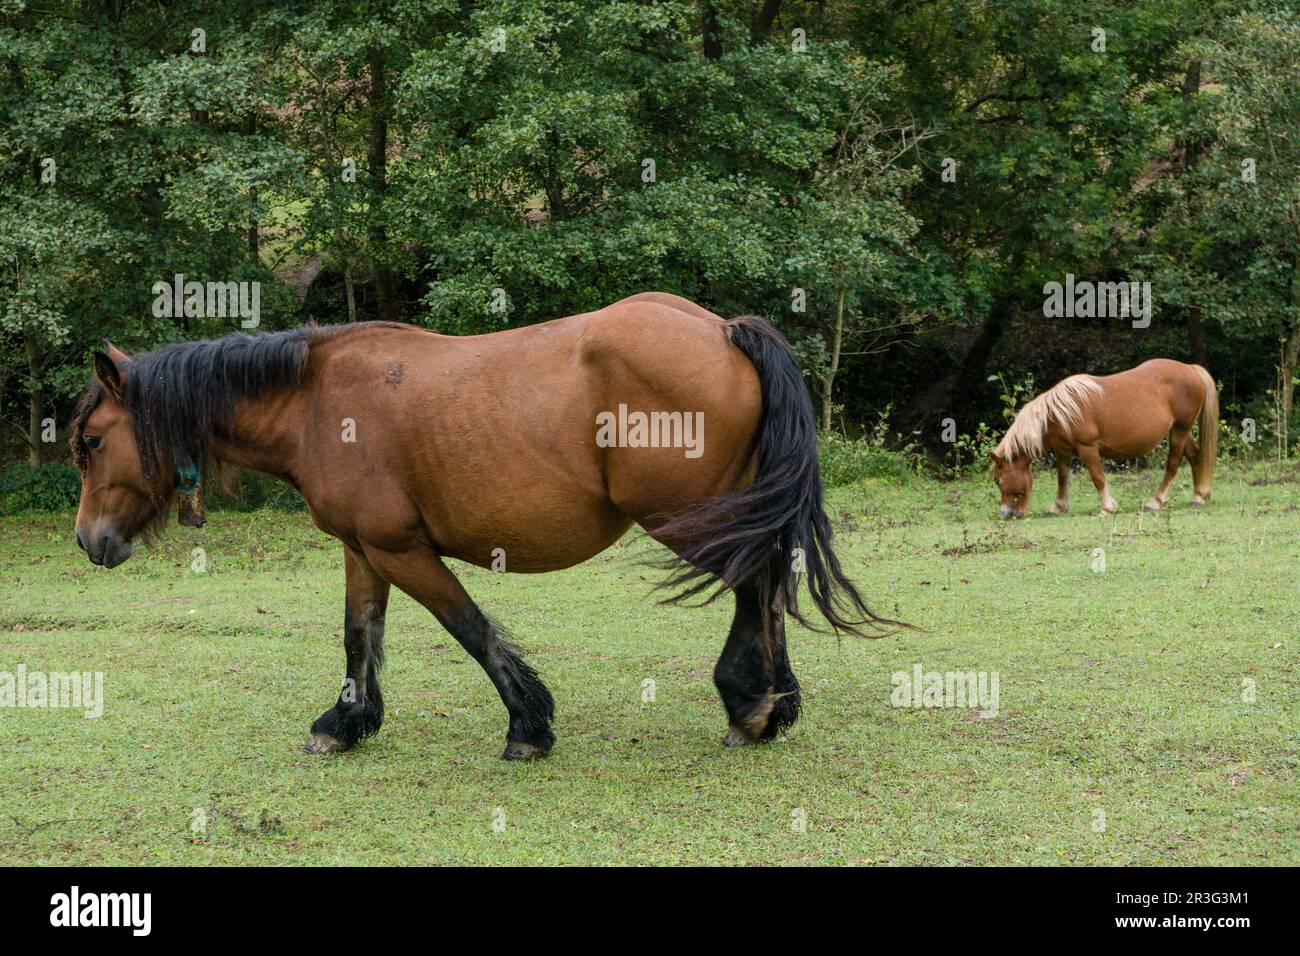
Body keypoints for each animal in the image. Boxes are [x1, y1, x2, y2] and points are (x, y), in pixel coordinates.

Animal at [69, 292, 886, 760]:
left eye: (93, 442)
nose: (88, 541)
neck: (314, 400)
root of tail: (722, 331)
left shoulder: (402, 549)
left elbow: (470, 628)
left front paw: (529, 725)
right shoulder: (364, 550)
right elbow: (359, 634)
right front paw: (347, 721)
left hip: (691, 520)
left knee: (757, 581)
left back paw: (750, 704)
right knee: (770, 581)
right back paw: (774, 704)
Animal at [991, 359, 1218, 519]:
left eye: (999, 481)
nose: (1007, 514)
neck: (1058, 413)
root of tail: (1190, 368)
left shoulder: (1088, 448)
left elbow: (1098, 477)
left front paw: (1107, 508)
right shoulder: (1062, 451)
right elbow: (1063, 478)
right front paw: (1058, 507)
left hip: (1180, 430)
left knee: (1173, 464)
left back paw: (1156, 501)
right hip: (1180, 430)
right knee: (1194, 454)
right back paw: (1199, 496)